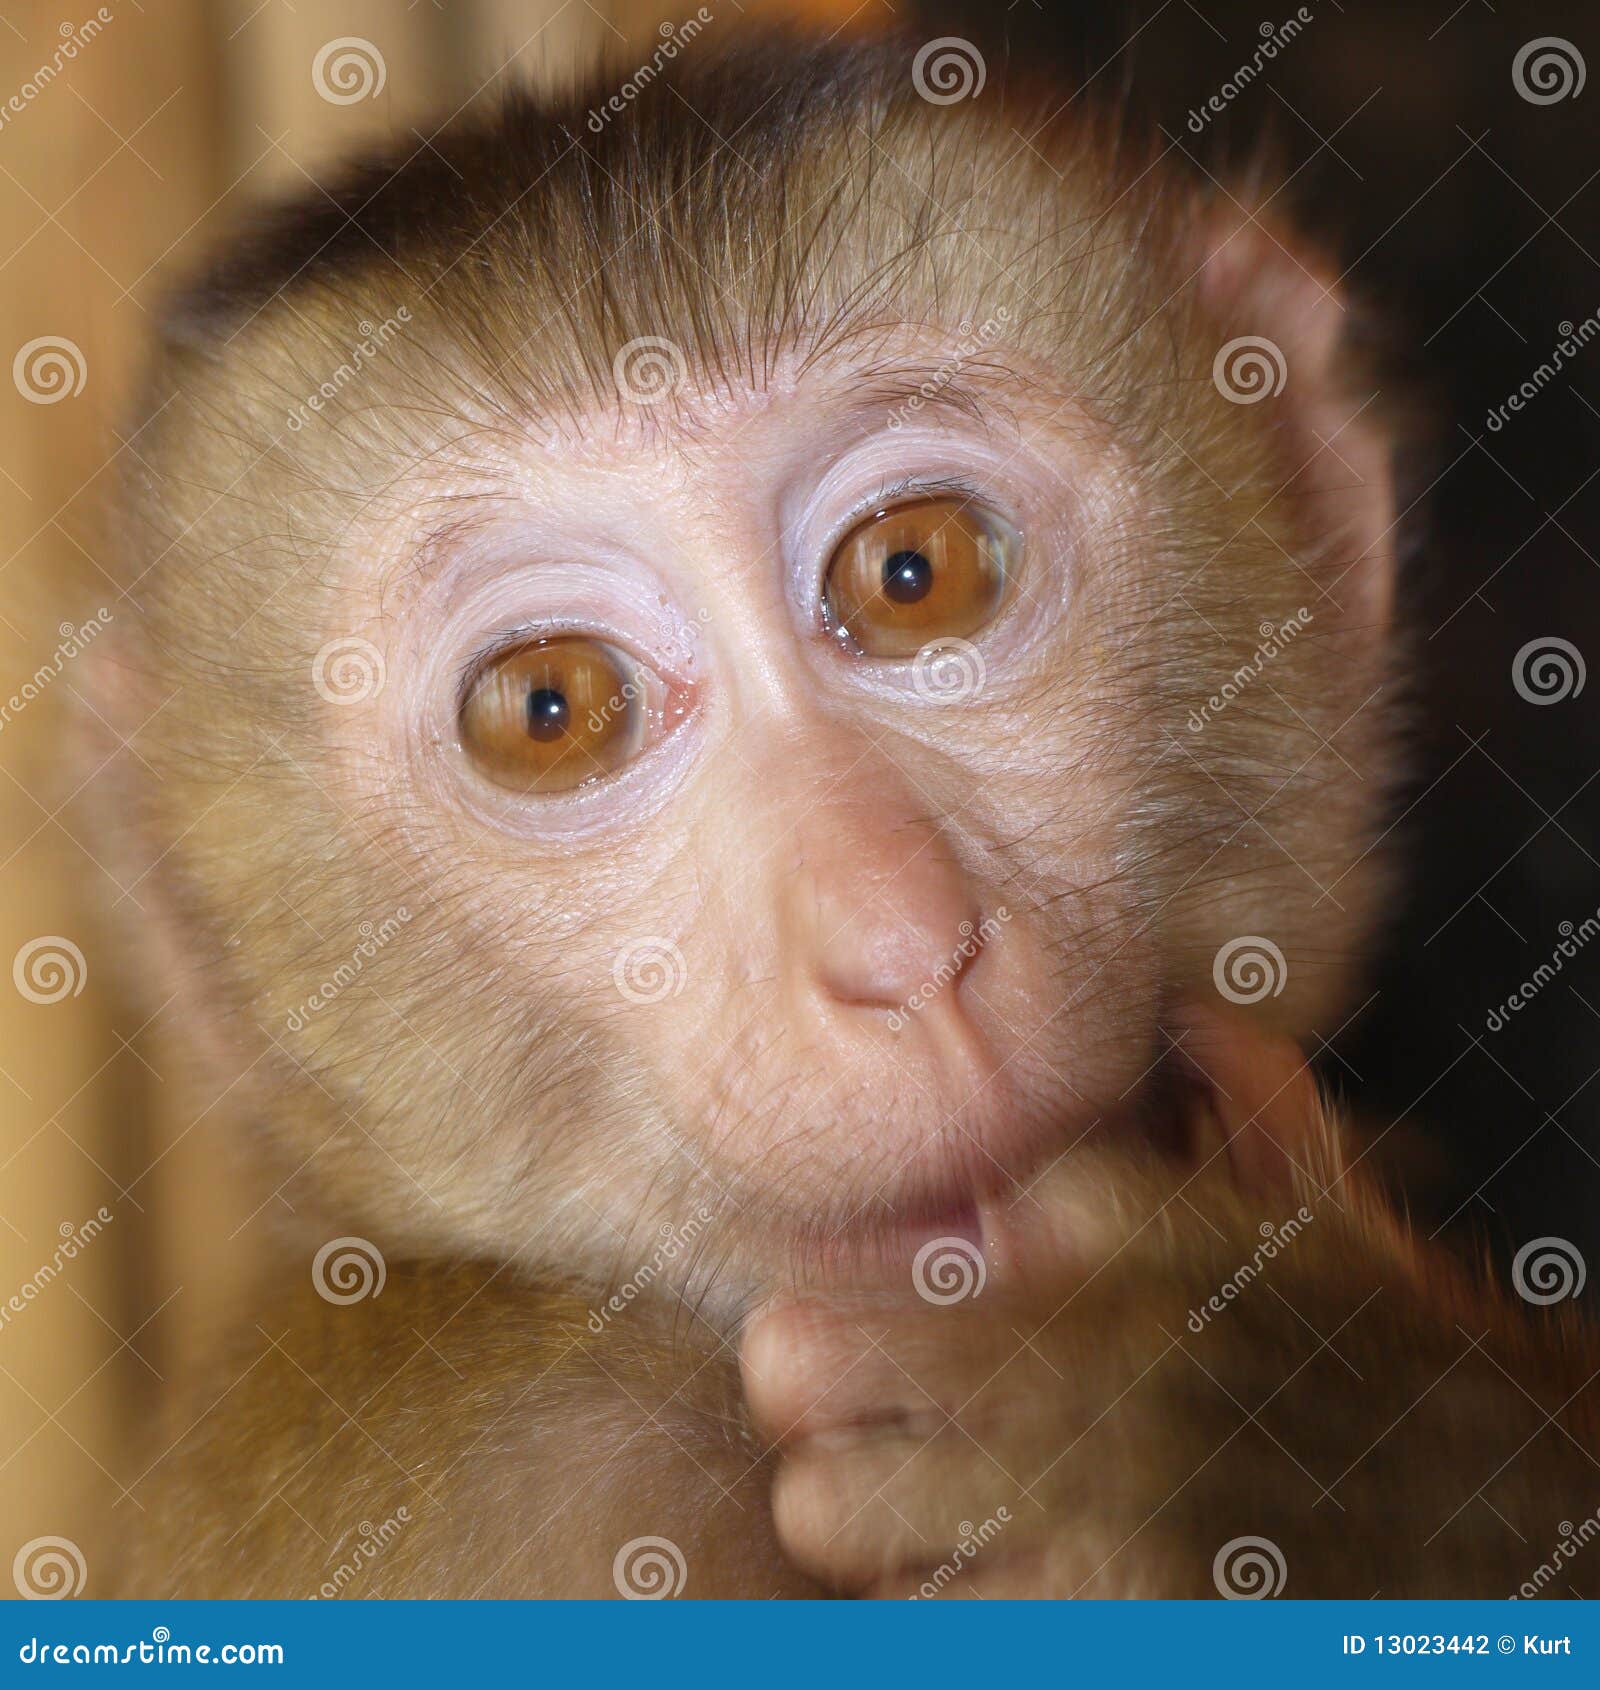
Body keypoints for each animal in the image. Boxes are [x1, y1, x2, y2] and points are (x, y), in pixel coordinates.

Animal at [78, 31, 1600, 1597]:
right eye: (550, 708)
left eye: (914, 571)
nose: (905, 947)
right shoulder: (540, 1472)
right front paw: (1262, 1455)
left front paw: (1325, 1435)